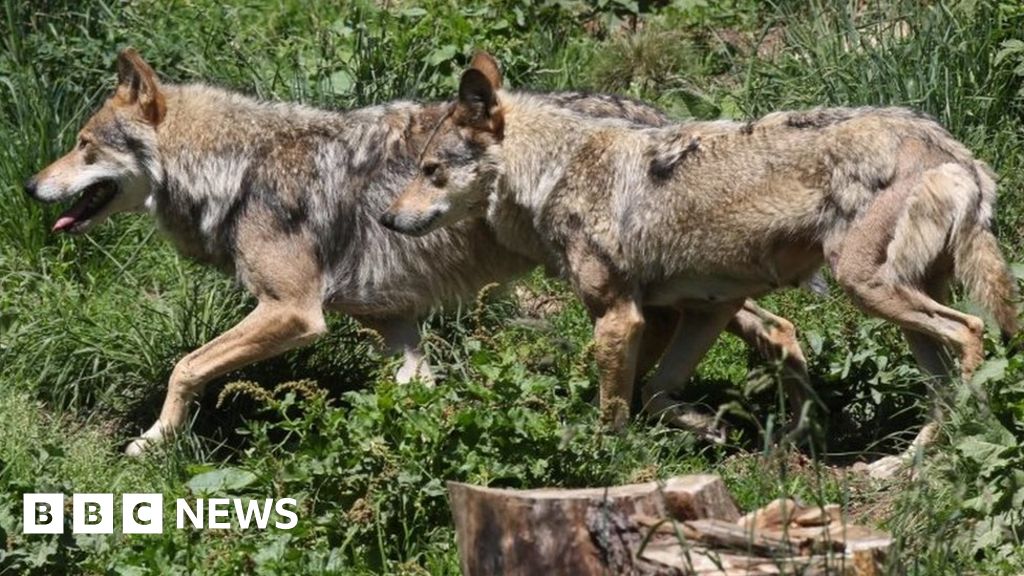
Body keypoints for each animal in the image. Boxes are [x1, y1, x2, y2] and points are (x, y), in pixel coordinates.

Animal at [25, 49, 807, 455]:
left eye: (85, 145)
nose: (31, 185)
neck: (236, 169)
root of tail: (654, 115)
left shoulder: (293, 313)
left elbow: (186, 367)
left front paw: (152, 442)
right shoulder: (395, 327)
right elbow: (414, 395)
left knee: (759, 328)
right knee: (774, 331)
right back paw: (776, 428)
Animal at [381, 54, 1019, 475]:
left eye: (432, 171)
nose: (387, 219)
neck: (554, 173)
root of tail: (950, 147)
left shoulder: (619, 318)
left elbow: (615, 409)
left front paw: (603, 463)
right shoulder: (699, 310)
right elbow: (654, 393)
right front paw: (710, 427)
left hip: (868, 288)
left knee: (972, 331)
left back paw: (959, 434)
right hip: (899, 310)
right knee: (943, 382)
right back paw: (902, 462)